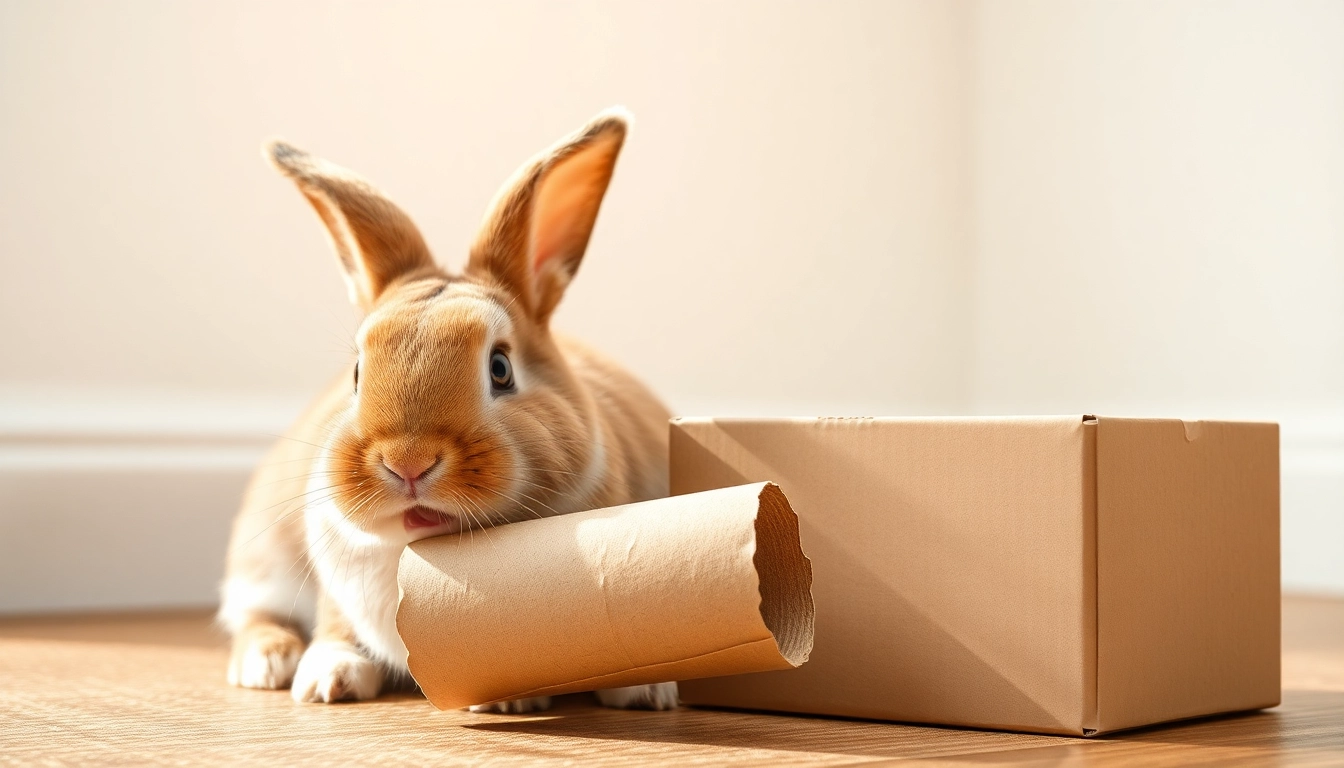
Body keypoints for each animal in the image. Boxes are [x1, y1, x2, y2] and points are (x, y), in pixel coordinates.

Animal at [217, 108, 677, 712]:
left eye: (500, 368)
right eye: (357, 374)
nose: (407, 463)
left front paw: (645, 689)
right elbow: (336, 623)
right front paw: (327, 681)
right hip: (264, 563)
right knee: (255, 615)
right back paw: (268, 663)